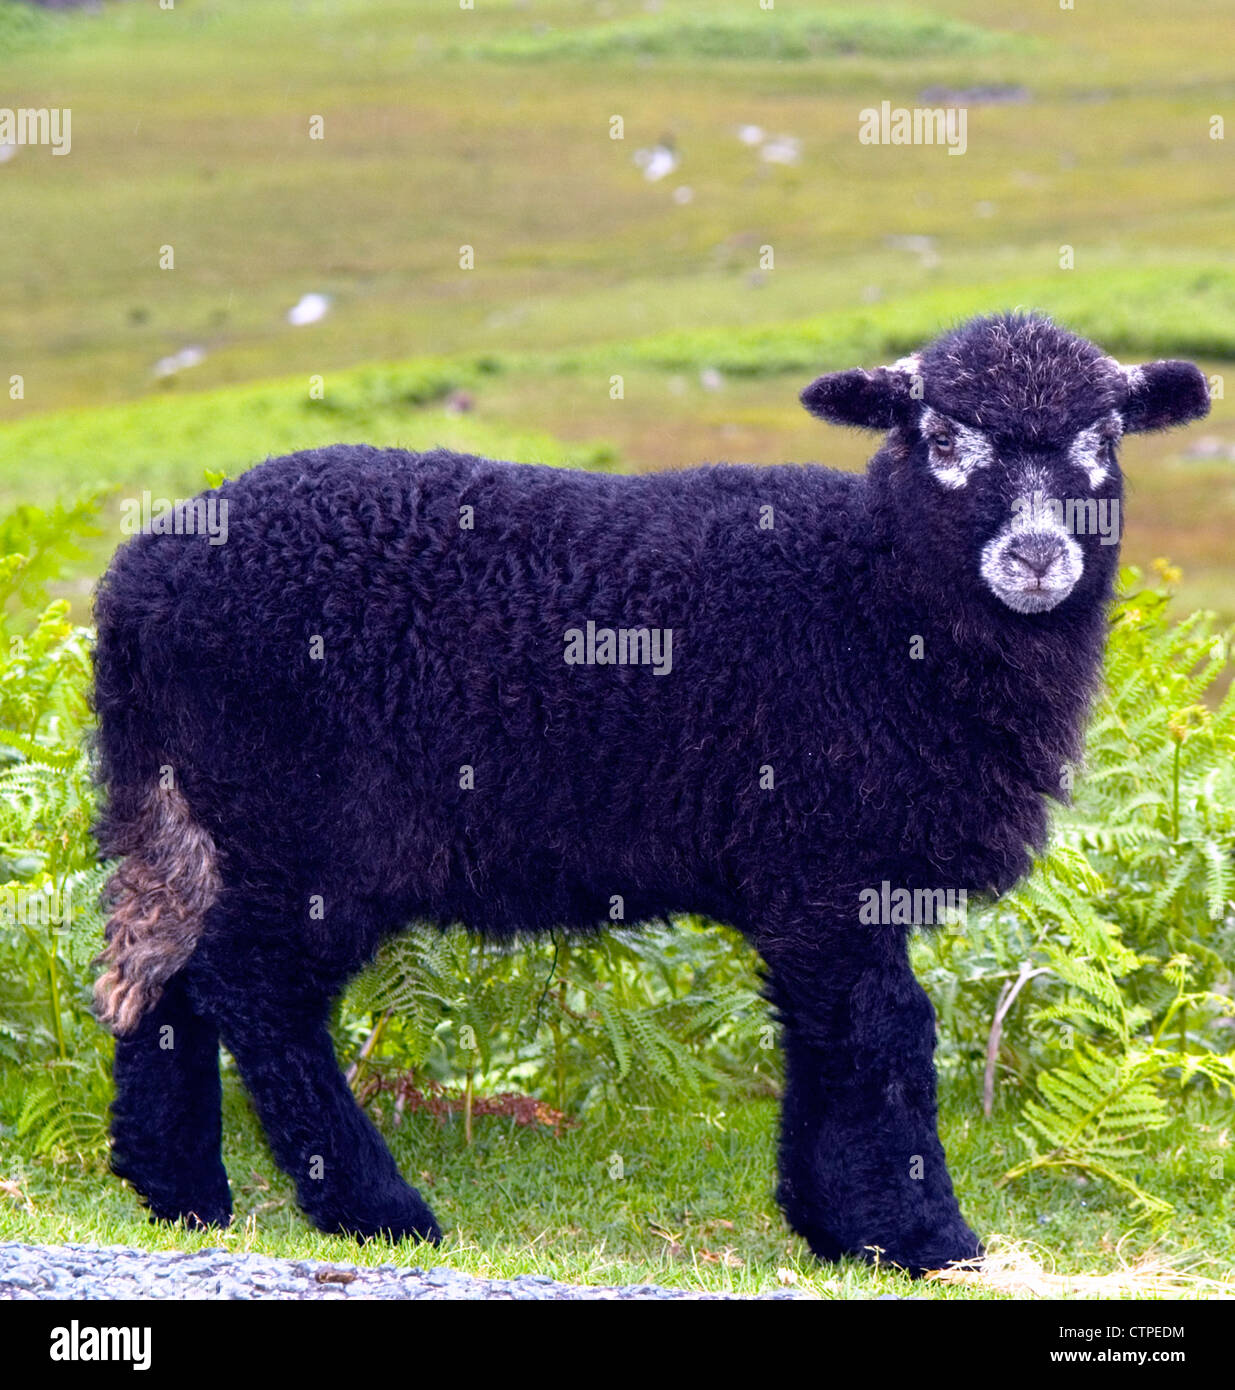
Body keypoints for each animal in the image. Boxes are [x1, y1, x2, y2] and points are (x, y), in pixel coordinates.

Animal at [91, 312, 1210, 1273]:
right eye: (939, 435)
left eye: (1103, 438)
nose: (1036, 555)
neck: (873, 596)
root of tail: (139, 577)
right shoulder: (821, 856)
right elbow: (883, 1028)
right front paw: (920, 1234)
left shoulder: (803, 879)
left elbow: (822, 1031)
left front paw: (832, 1223)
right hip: (301, 818)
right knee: (253, 987)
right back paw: (373, 1207)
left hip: (199, 808)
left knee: (165, 975)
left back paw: (177, 1191)